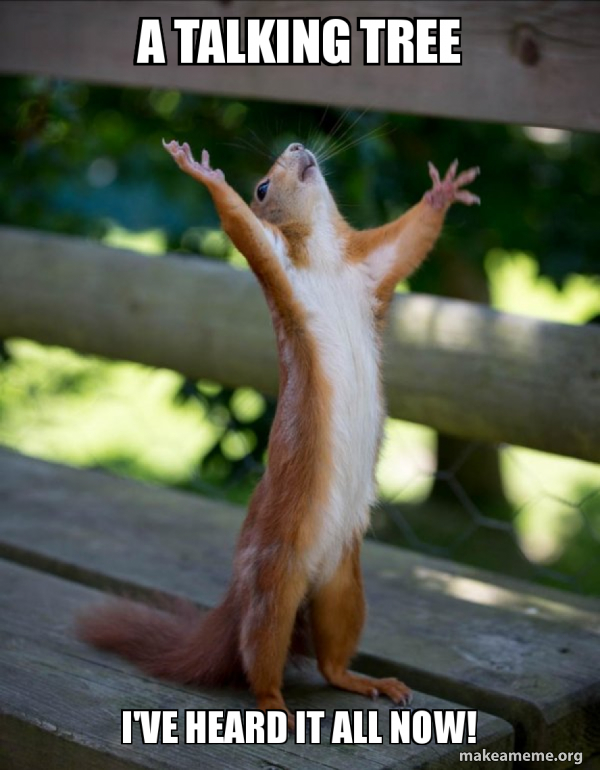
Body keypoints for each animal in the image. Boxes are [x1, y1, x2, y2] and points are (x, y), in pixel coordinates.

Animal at [78, 138, 479, 728]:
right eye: (262, 187)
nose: (296, 146)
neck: (326, 257)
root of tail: (239, 595)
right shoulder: (277, 265)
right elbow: (240, 226)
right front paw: (204, 173)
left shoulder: (371, 267)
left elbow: (410, 240)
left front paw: (443, 192)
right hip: (274, 584)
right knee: (259, 654)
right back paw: (273, 704)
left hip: (344, 587)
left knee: (331, 660)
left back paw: (367, 680)